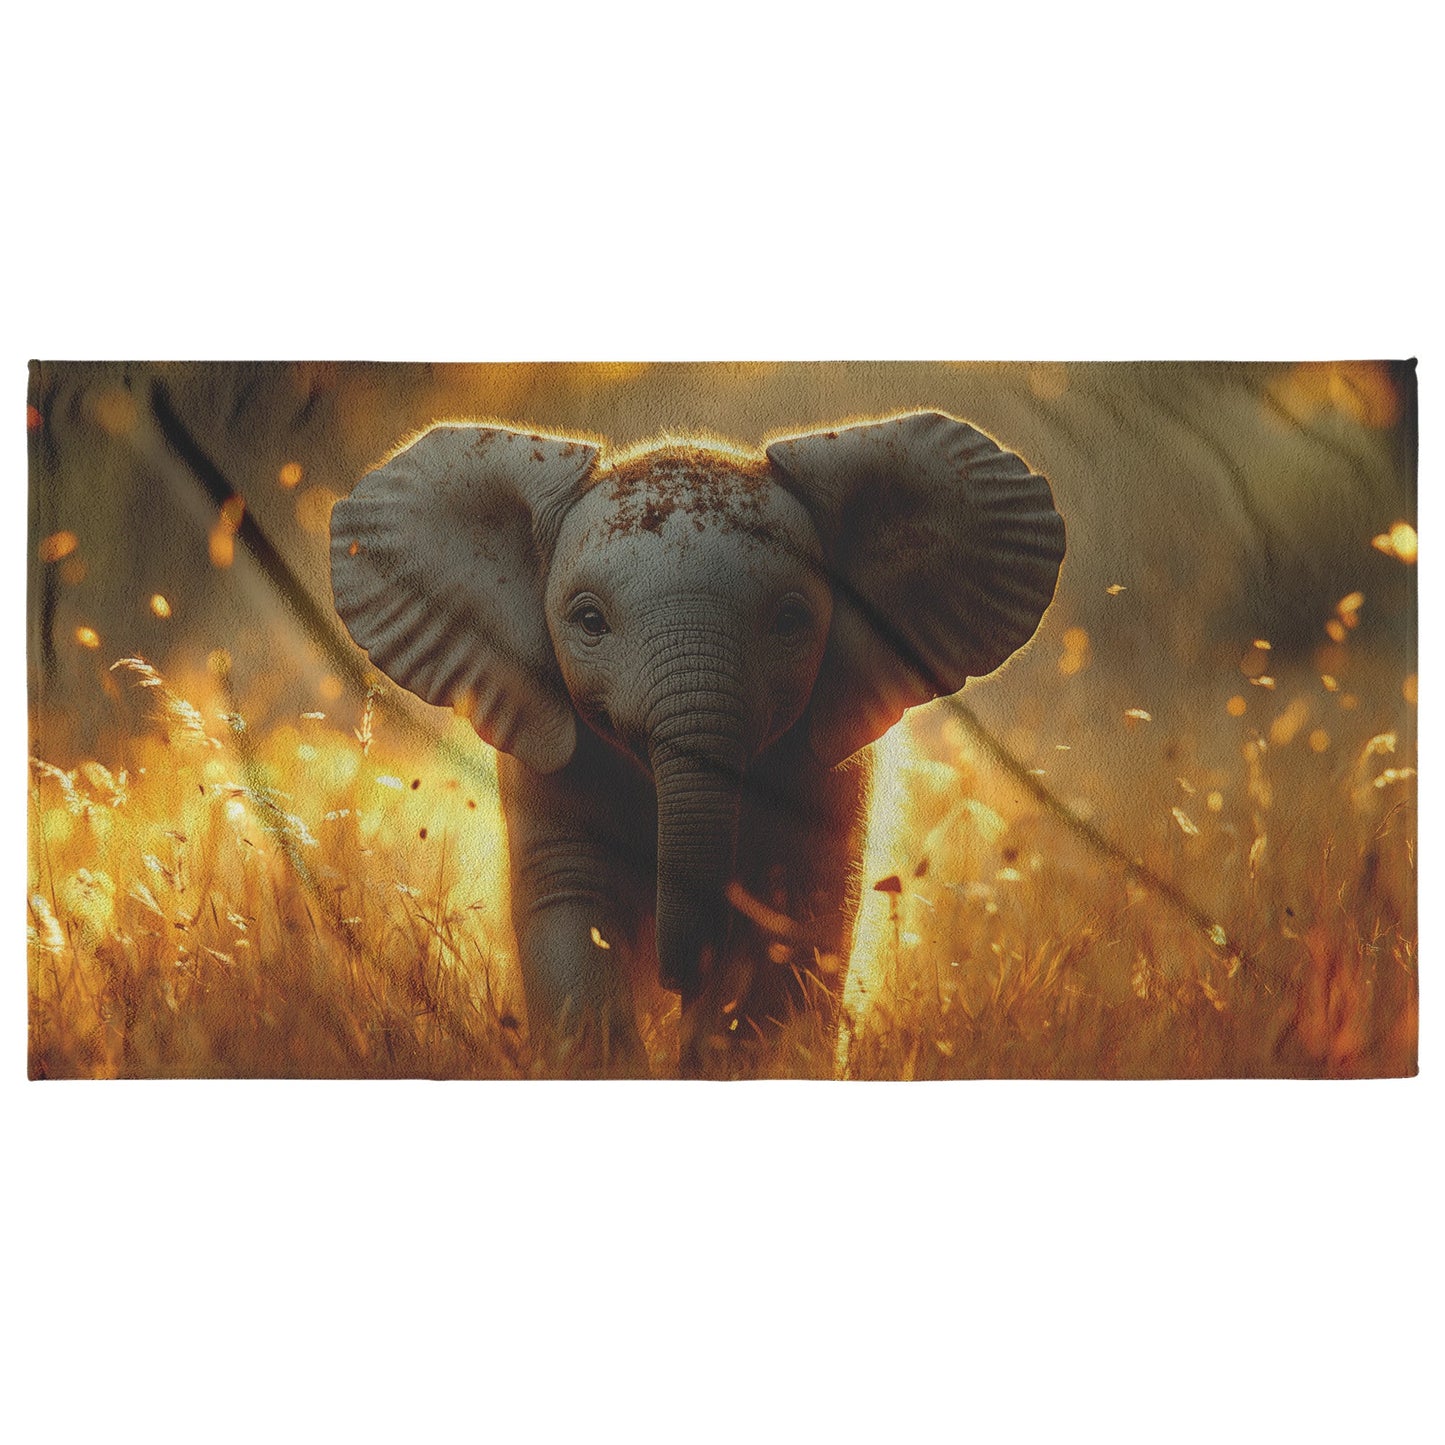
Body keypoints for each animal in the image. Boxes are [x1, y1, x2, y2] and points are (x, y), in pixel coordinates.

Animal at [328, 410, 1066, 1074]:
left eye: (792, 619)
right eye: (589, 621)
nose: (677, 977)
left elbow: (788, 930)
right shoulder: (546, 764)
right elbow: (570, 906)